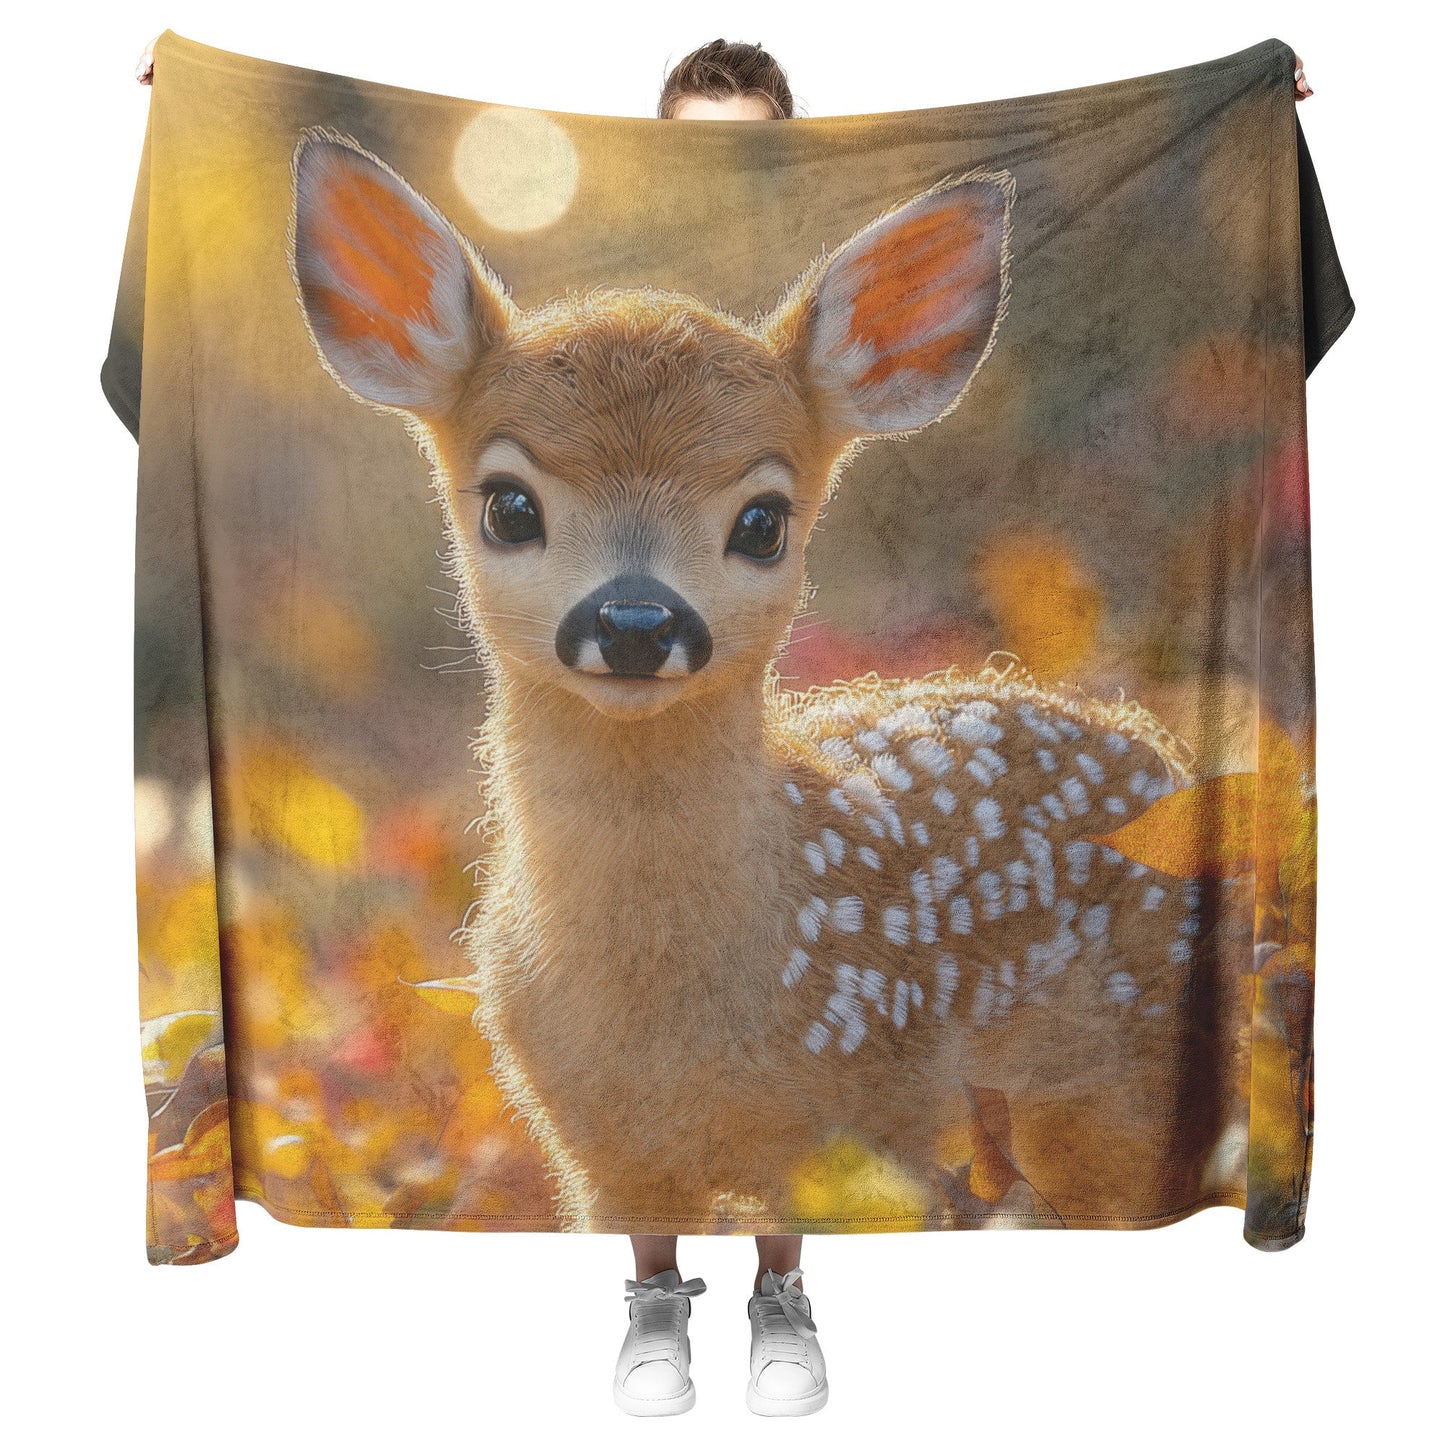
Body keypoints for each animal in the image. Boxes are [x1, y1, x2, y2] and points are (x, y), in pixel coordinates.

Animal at [289, 128, 1243, 1232]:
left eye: (761, 520)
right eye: (508, 505)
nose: (634, 621)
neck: (668, 1029)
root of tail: (1154, 749)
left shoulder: (873, 1104)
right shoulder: (599, 1149)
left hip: (1129, 1067)